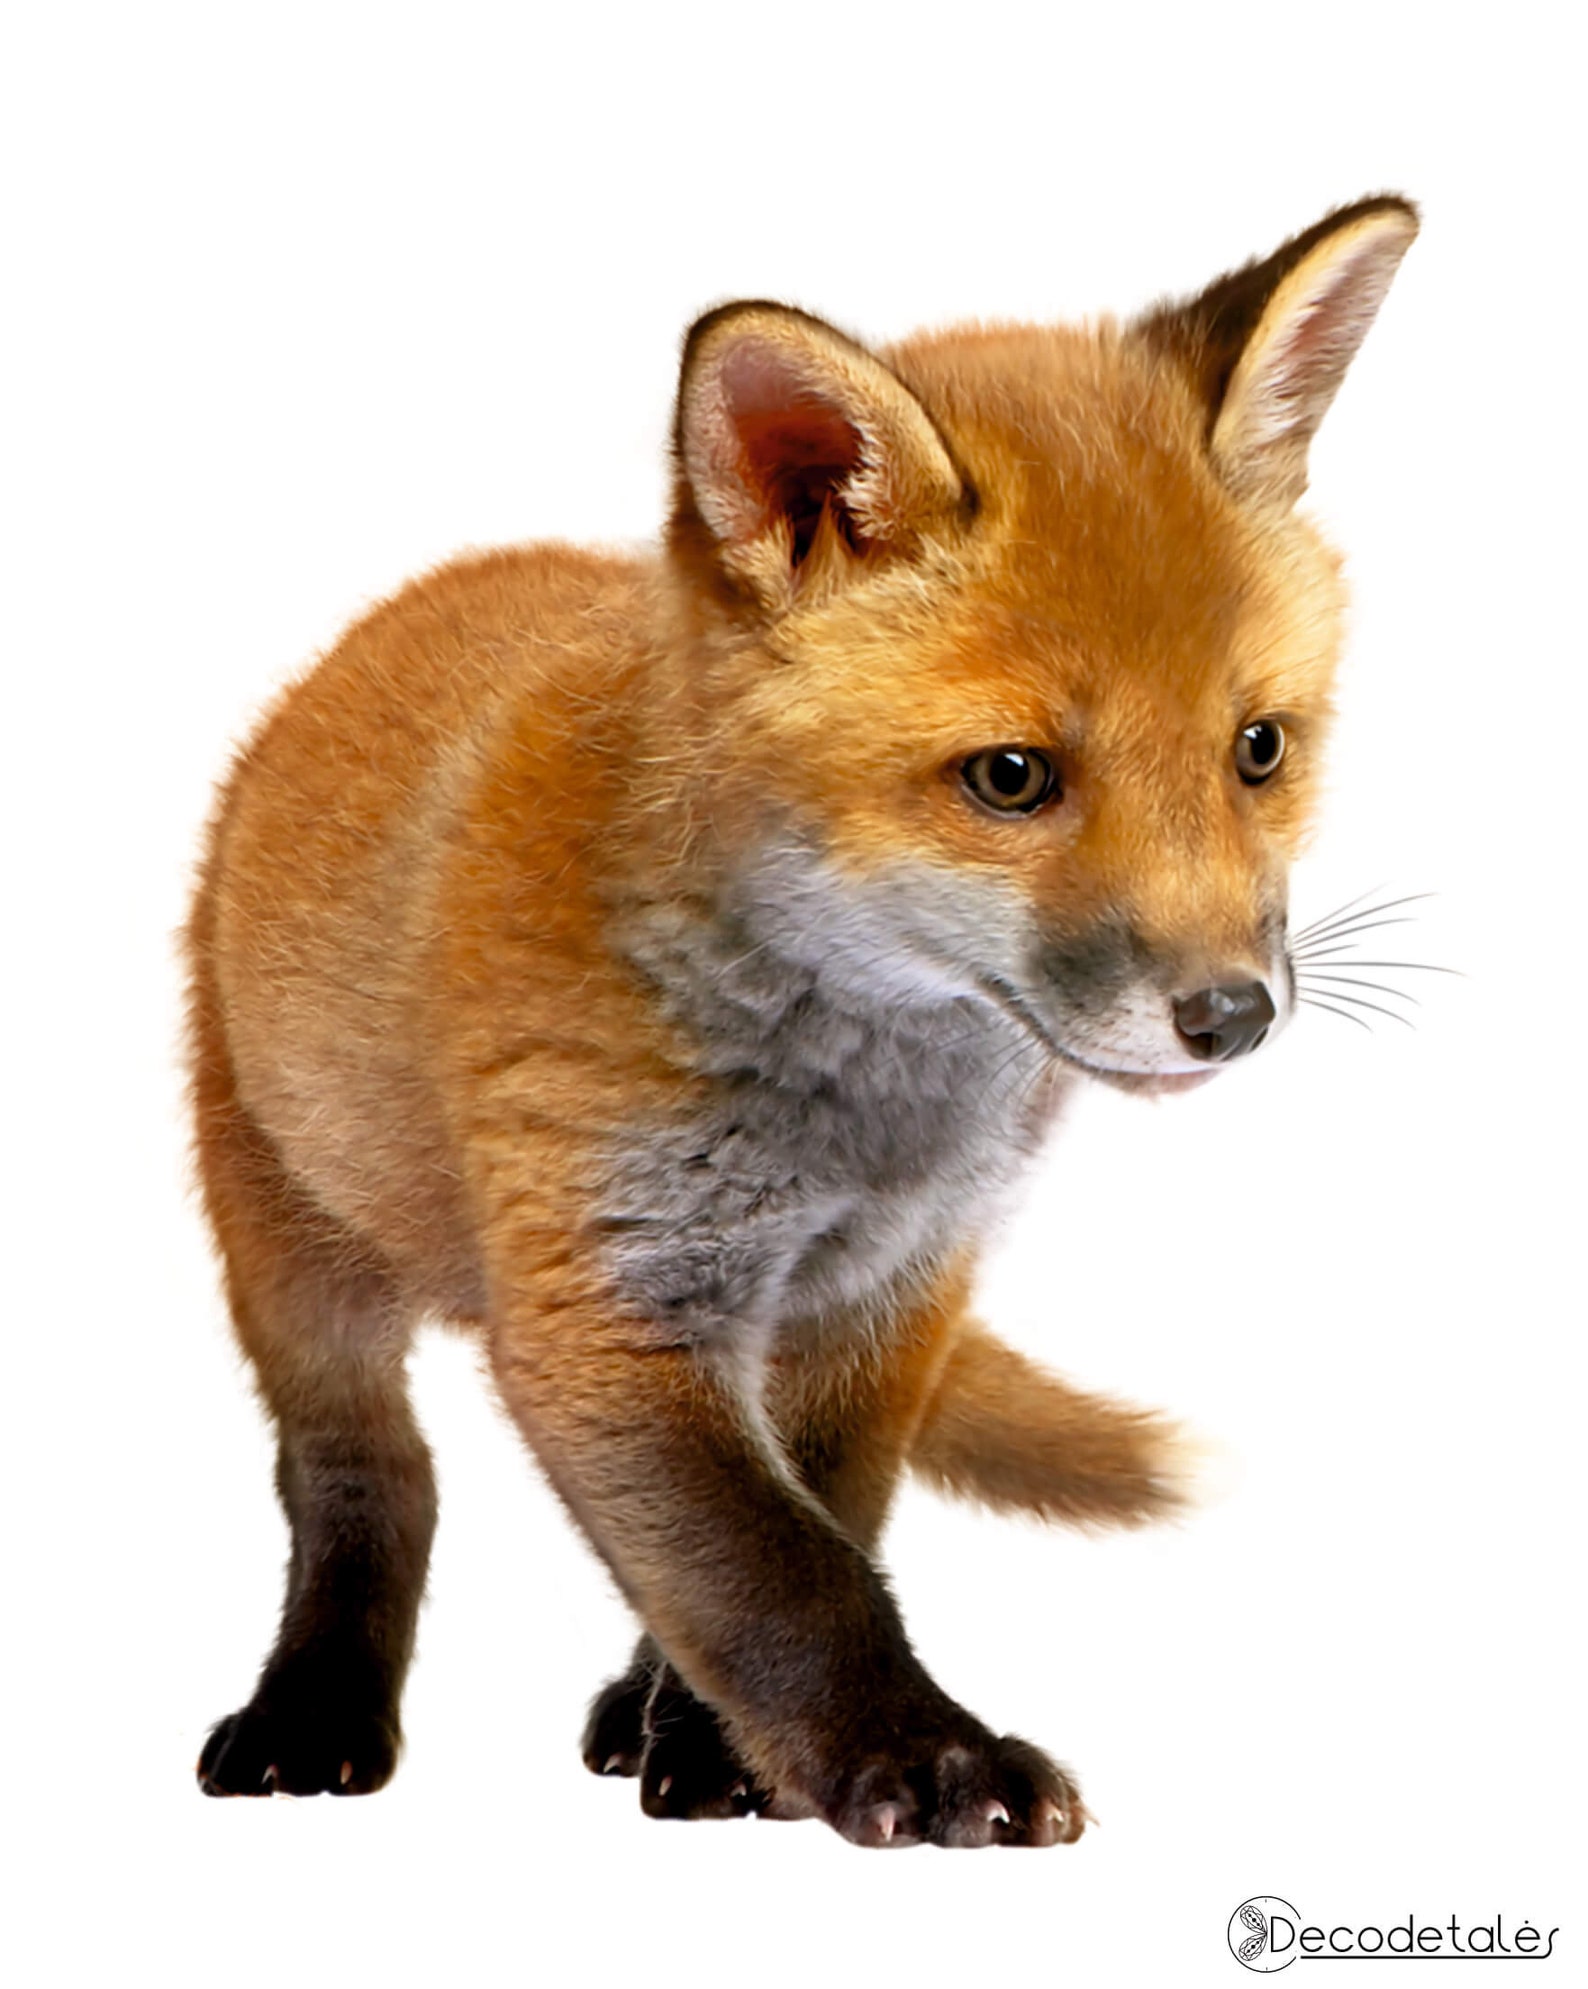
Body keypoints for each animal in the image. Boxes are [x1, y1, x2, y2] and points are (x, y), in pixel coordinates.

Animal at [189, 195, 1418, 1846]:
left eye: (1260, 750)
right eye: (1012, 777)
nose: (1231, 1014)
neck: (860, 1116)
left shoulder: (889, 1289)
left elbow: (817, 1520)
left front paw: (715, 1750)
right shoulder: (600, 1297)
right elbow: (782, 1578)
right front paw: (925, 1759)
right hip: (289, 1245)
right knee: (364, 1479)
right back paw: (315, 1709)